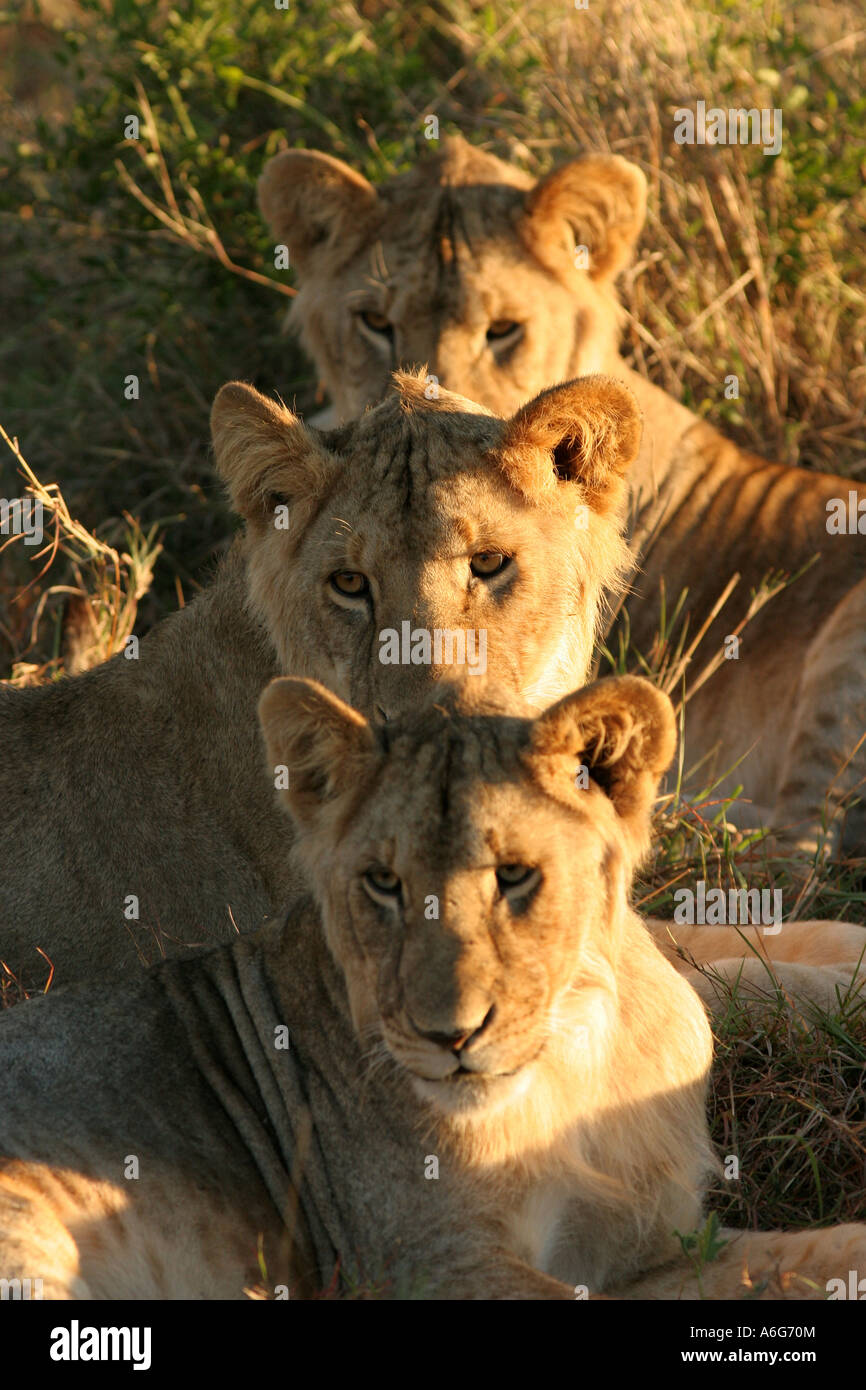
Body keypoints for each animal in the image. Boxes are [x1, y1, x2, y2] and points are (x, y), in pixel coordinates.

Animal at [0, 673, 863, 1301]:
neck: (577, 1064)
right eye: (383, 883)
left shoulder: (651, 1246)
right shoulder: (429, 1262)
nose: (449, 1035)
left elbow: (802, 1256)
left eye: (514, 875)